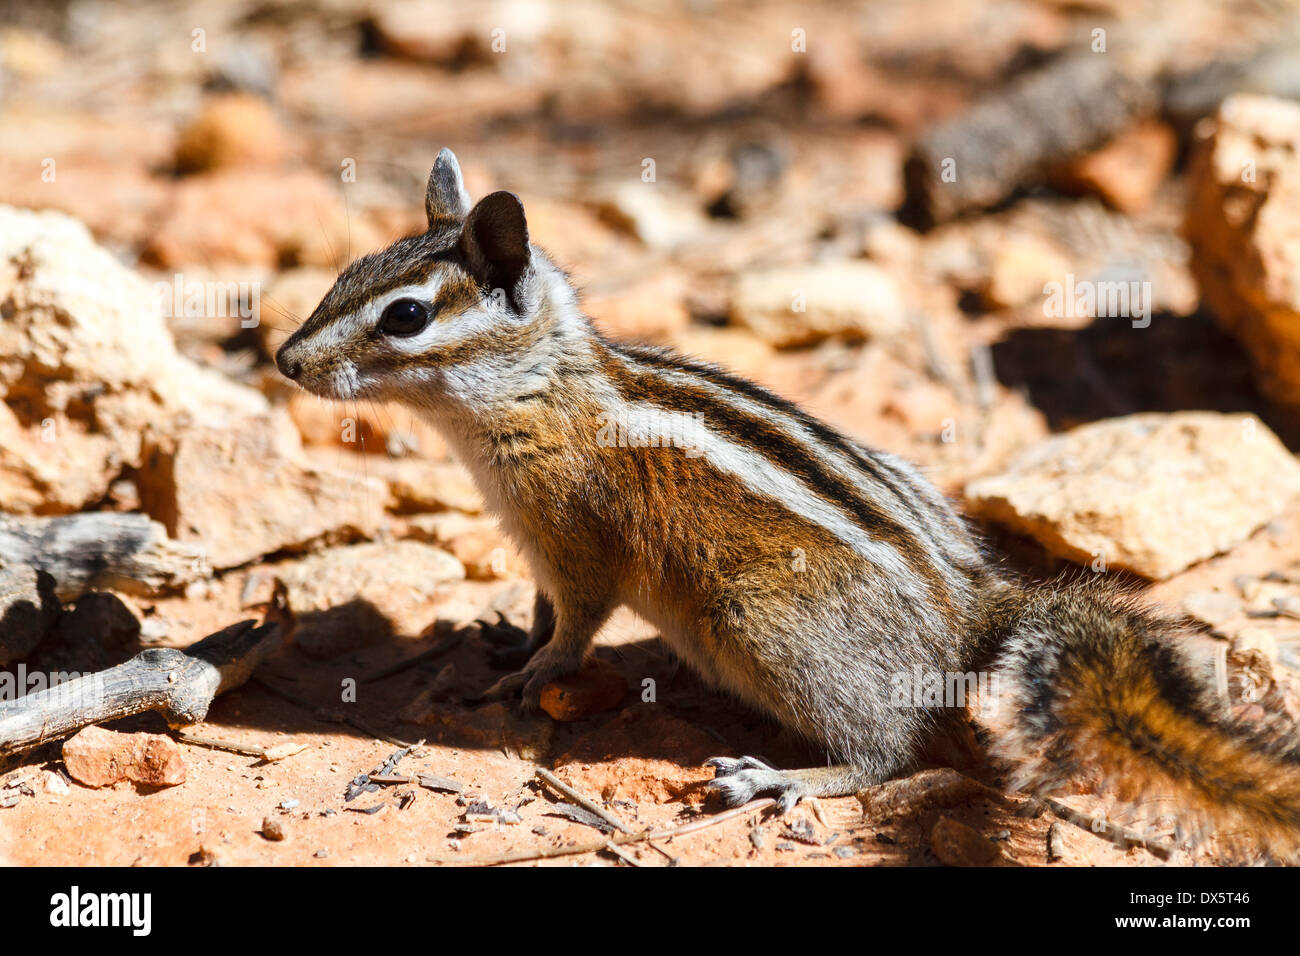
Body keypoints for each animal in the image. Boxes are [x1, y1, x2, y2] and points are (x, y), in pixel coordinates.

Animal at [276, 148, 1300, 858]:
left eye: (407, 316)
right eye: (349, 270)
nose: (285, 360)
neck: (542, 390)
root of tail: (973, 609)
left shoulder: (577, 539)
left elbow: (577, 626)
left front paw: (530, 677)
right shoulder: (537, 546)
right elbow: (539, 610)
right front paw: (505, 644)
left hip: (764, 623)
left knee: (894, 751)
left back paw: (785, 780)